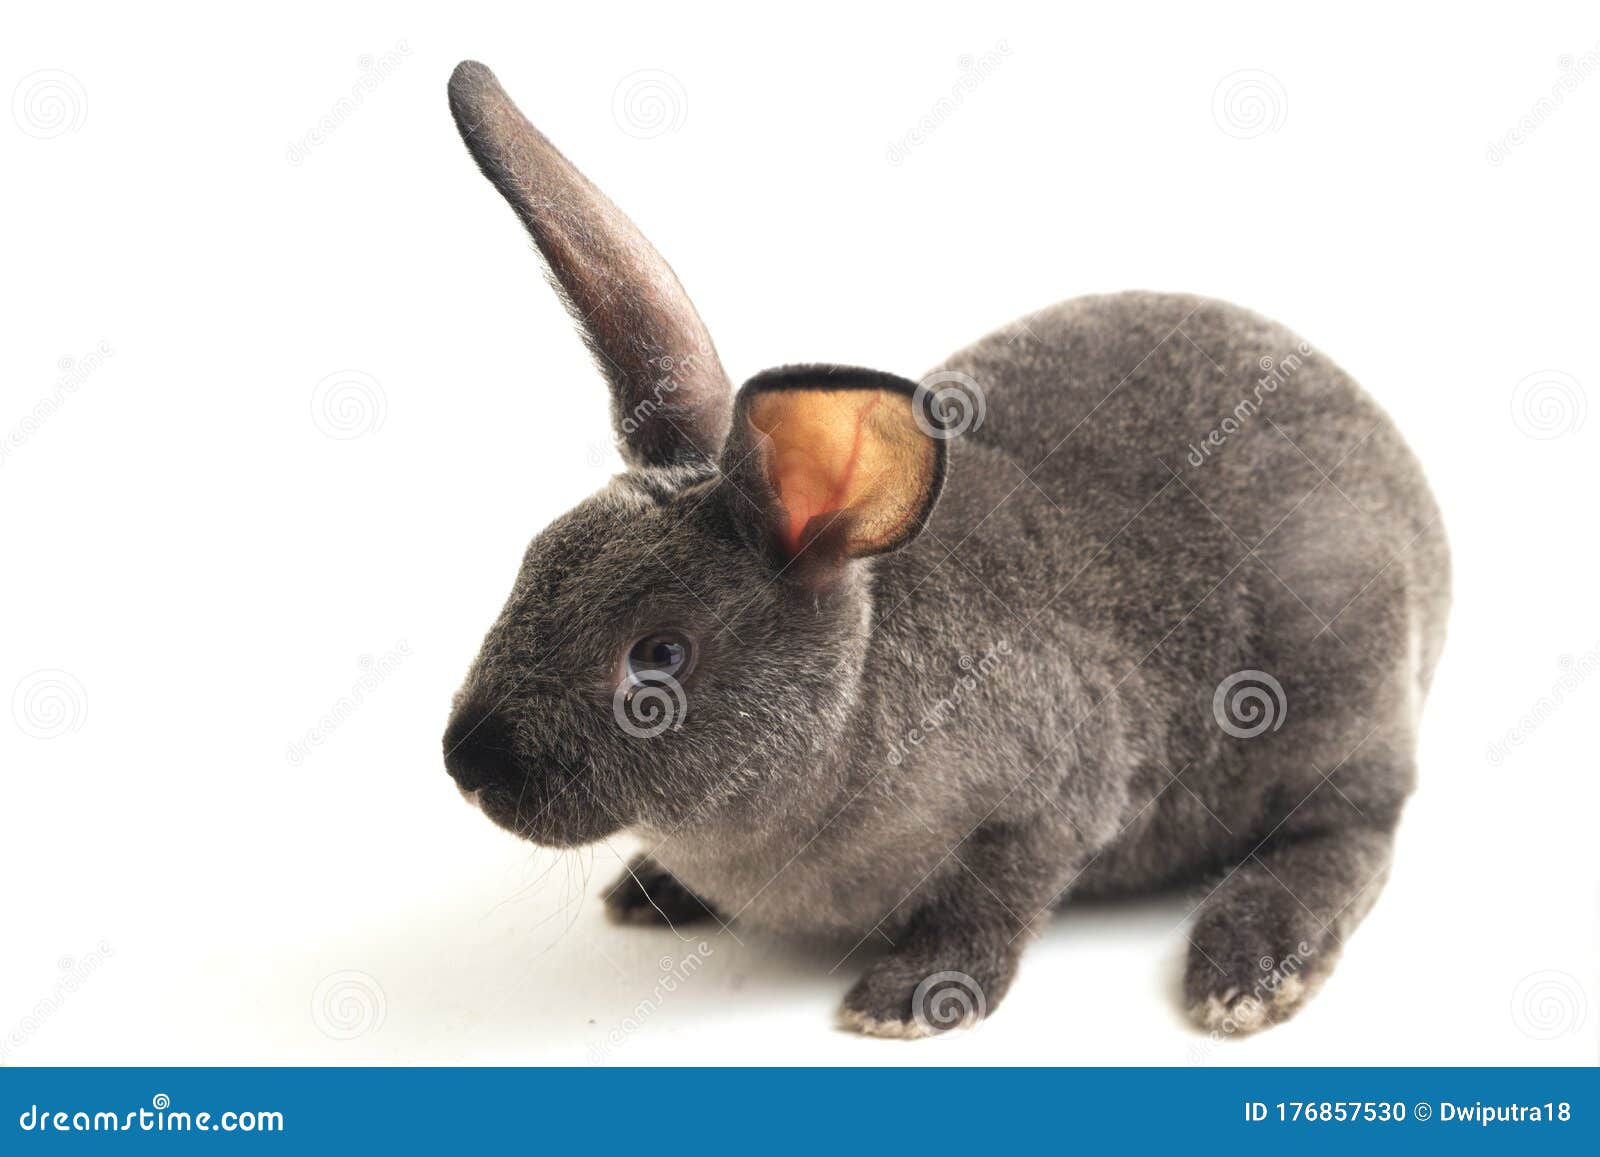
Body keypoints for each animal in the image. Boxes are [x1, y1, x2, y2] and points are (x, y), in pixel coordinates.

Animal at [441, 60, 1451, 1039]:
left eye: (658, 656)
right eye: (533, 562)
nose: (467, 764)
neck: (849, 705)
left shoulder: (1054, 803)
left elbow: (996, 898)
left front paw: (912, 996)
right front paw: (652, 885)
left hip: (1337, 685)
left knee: (1350, 833)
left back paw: (1246, 971)